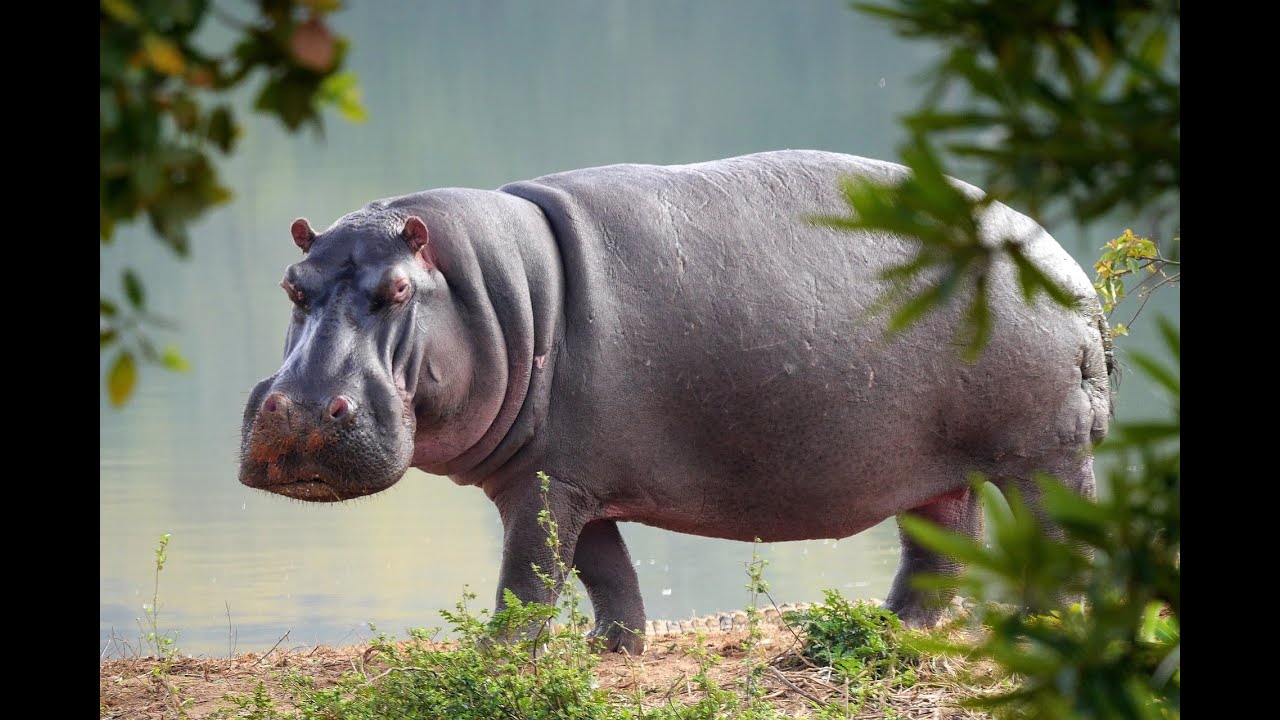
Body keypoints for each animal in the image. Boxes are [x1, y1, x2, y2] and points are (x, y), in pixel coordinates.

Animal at [239, 150, 1112, 655]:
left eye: (395, 290)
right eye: (290, 284)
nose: (302, 411)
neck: (491, 290)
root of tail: (1069, 271)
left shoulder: (548, 485)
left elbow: (528, 580)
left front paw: (495, 662)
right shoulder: (563, 477)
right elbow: (605, 572)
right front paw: (611, 651)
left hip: (1044, 453)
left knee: (1061, 538)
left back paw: (1049, 624)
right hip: (936, 470)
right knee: (938, 550)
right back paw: (888, 630)